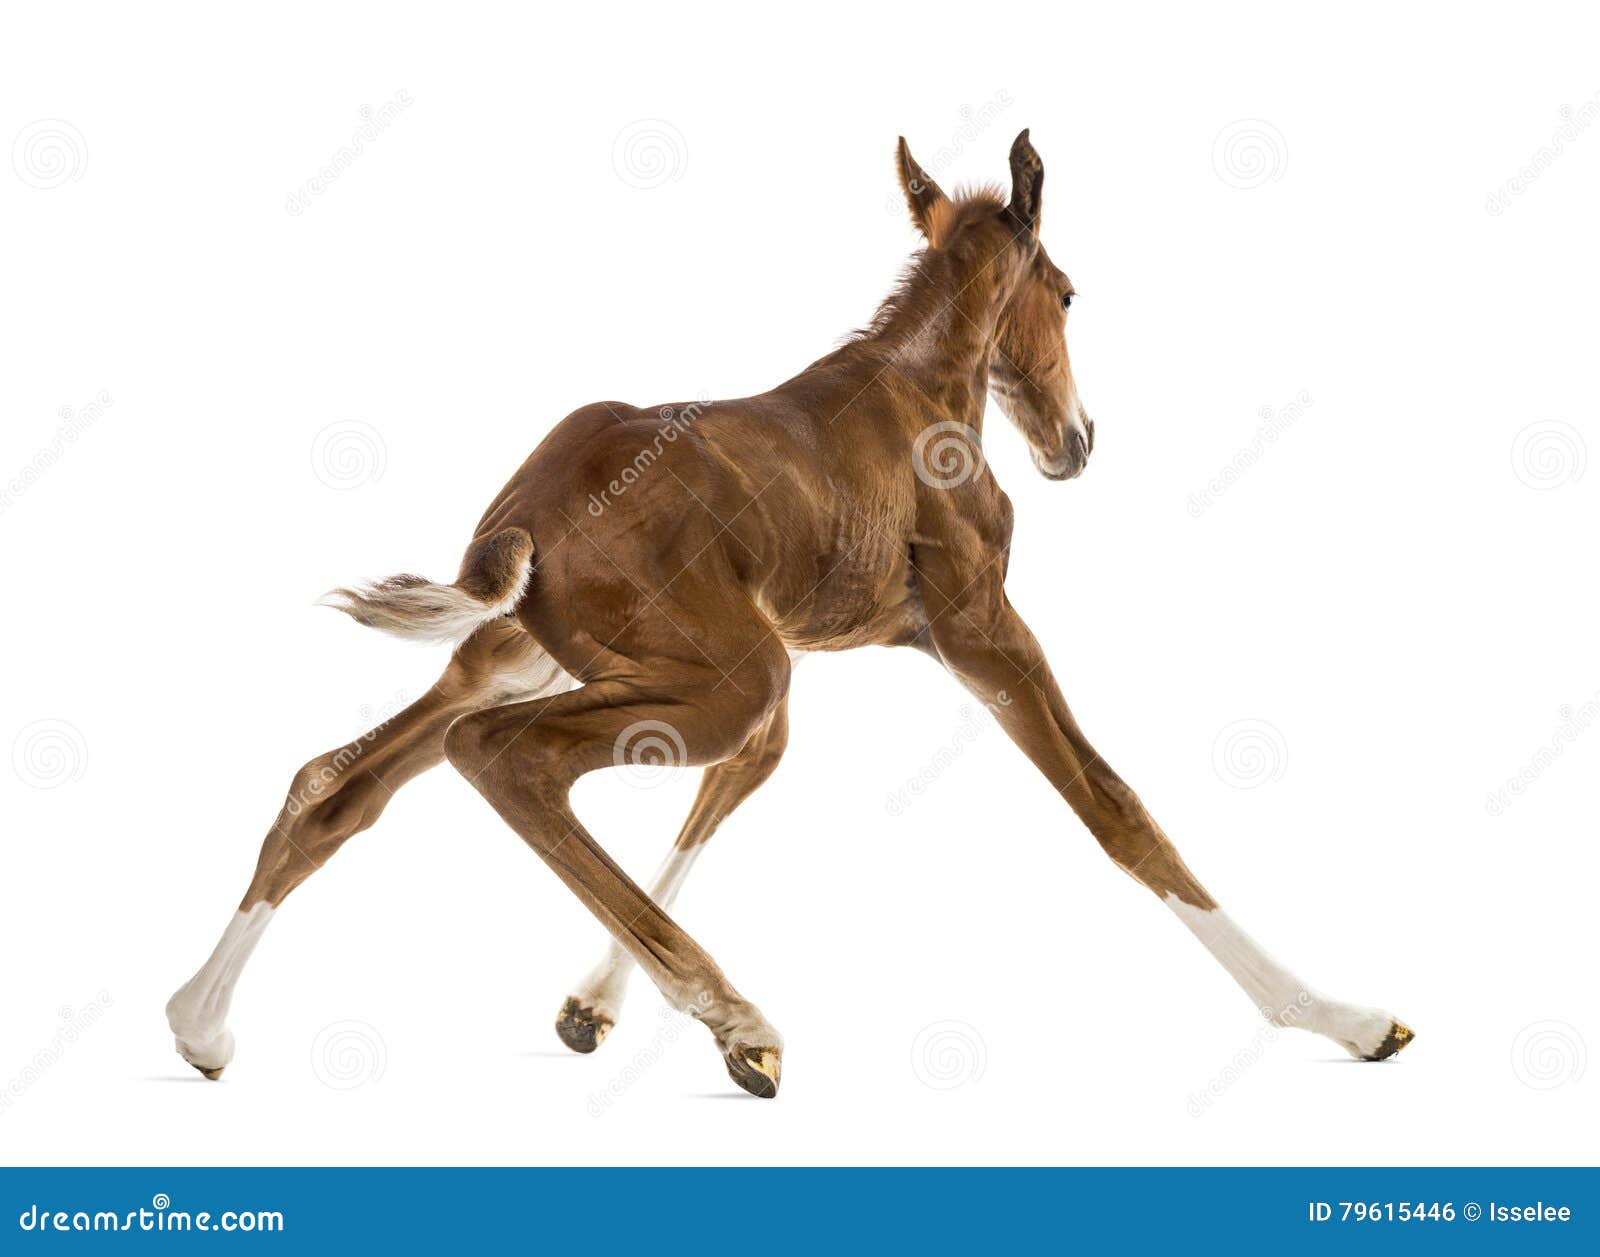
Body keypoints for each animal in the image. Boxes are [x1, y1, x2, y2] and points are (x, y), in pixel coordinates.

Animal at [166, 130, 1413, 1098]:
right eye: (1068, 294)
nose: (1077, 442)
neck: (928, 390)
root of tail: (522, 510)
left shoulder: (804, 663)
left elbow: (730, 792)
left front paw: (591, 1007)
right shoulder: (974, 628)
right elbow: (1115, 809)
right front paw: (1343, 1018)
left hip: (539, 654)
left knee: (340, 783)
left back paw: (200, 1022)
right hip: (709, 672)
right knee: (502, 758)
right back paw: (742, 1020)